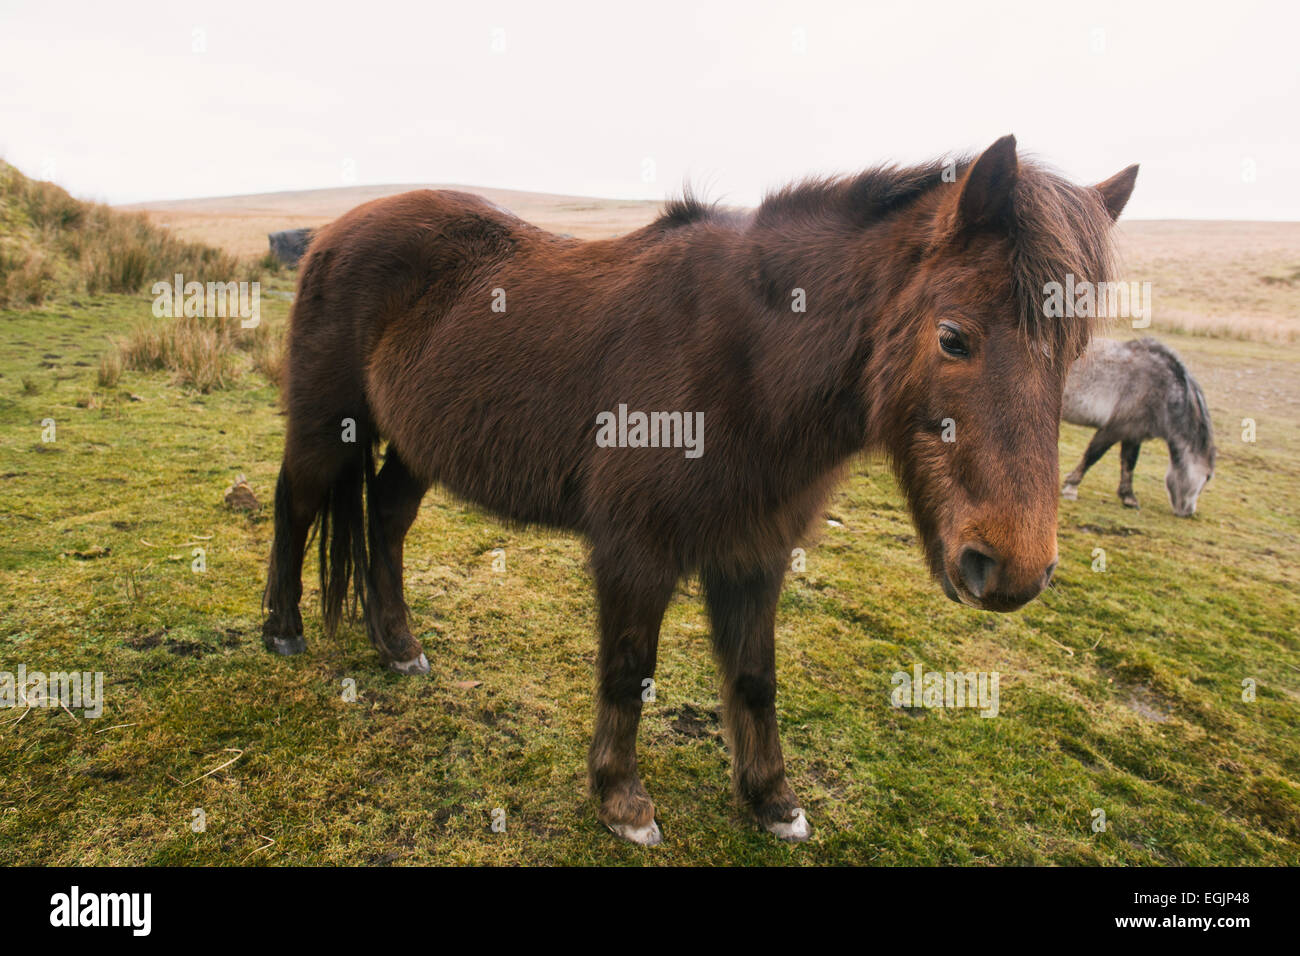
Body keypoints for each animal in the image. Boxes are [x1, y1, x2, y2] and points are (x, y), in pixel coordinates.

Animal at [261, 135, 1137, 845]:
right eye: (953, 337)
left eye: (1074, 352)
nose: (1013, 570)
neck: (747, 361)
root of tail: (335, 231)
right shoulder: (634, 551)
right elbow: (628, 668)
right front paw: (622, 802)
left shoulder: (755, 553)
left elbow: (754, 679)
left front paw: (773, 801)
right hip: (327, 425)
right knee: (295, 506)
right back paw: (283, 632)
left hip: (417, 446)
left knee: (385, 522)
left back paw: (399, 647)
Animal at [1061, 337, 1215, 515]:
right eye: (1207, 478)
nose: (1188, 513)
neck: (1164, 391)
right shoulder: (1114, 429)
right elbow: (1092, 456)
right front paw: (1070, 487)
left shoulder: (1133, 434)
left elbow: (1129, 464)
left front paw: (1128, 498)